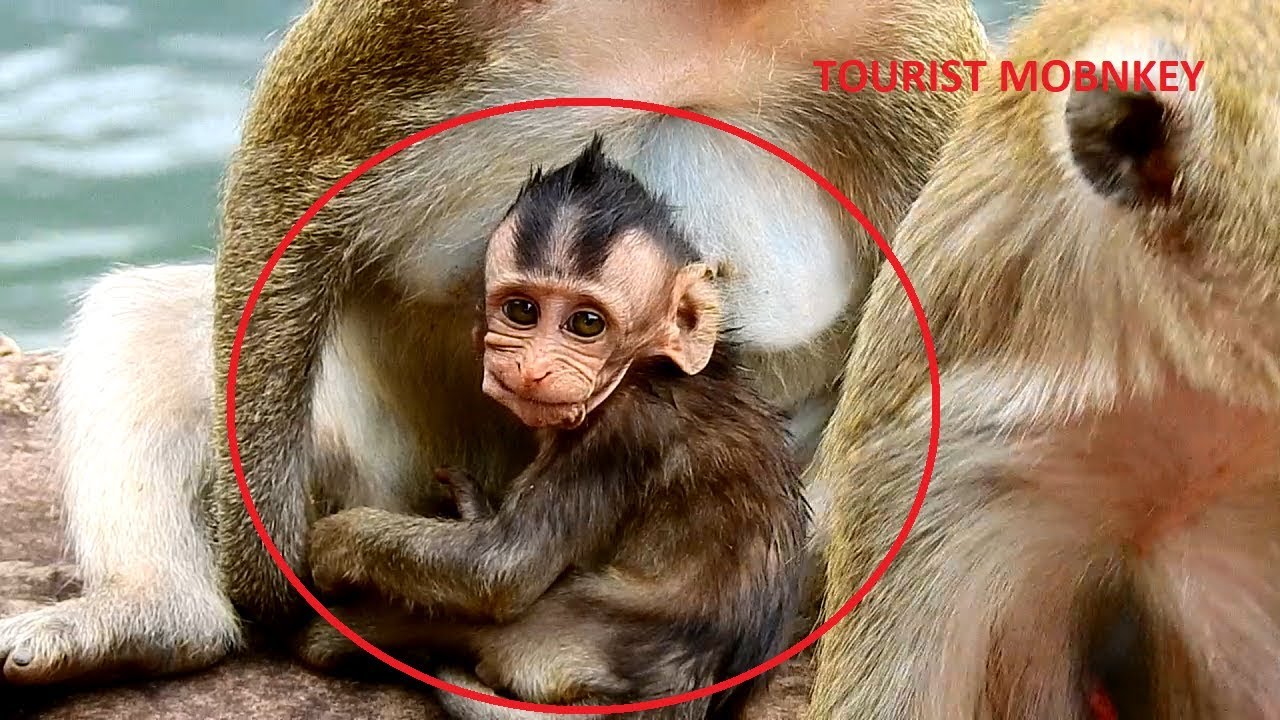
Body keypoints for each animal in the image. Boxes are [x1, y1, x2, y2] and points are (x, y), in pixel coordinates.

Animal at [290, 138, 809, 720]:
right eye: (522, 311)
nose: (534, 368)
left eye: (586, 323)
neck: (643, 369)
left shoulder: (618, 436)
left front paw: (333, 545)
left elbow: (503, 569)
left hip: (554, 640)